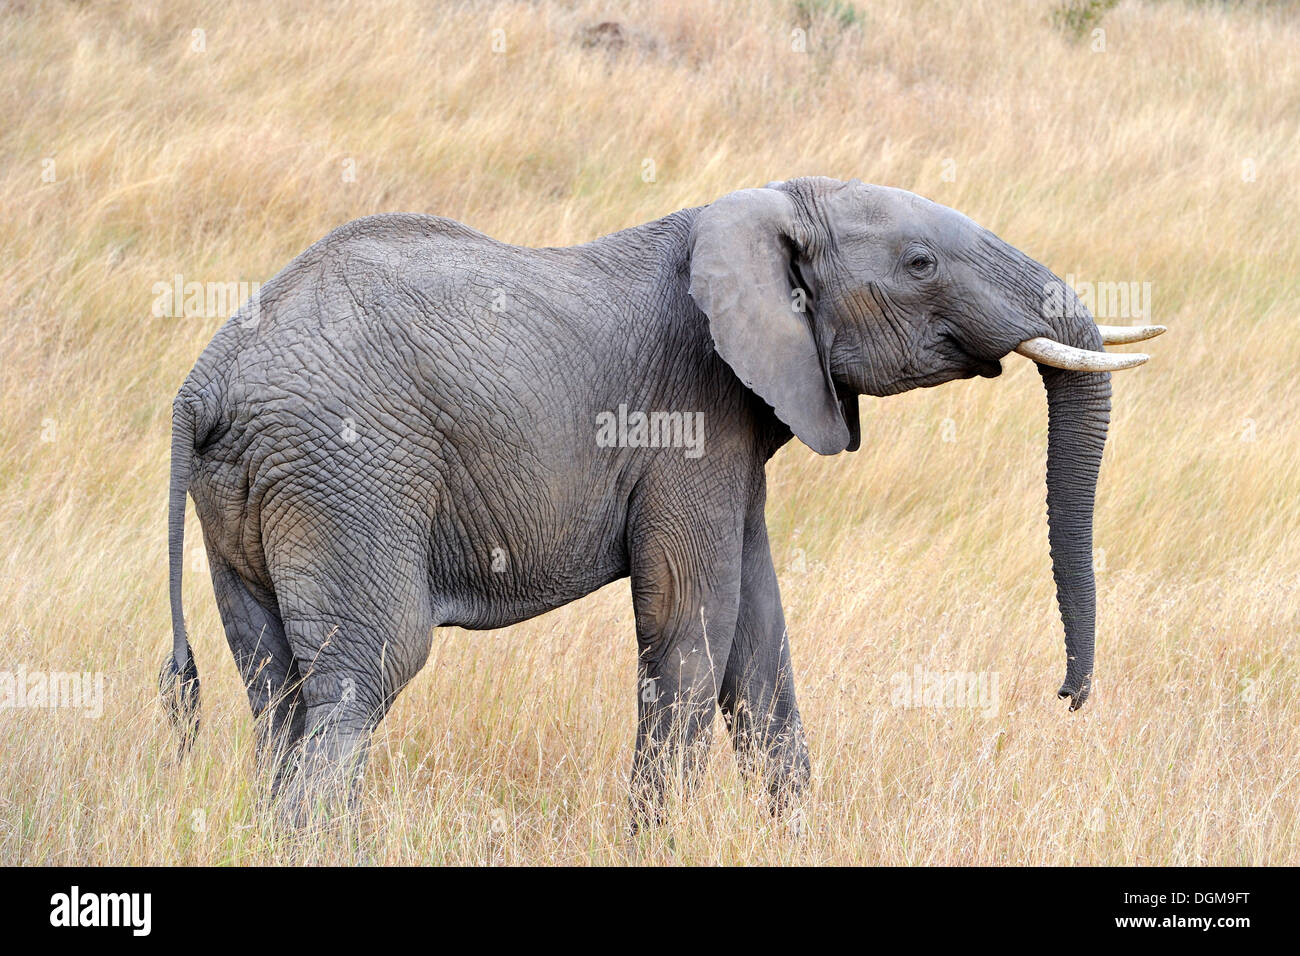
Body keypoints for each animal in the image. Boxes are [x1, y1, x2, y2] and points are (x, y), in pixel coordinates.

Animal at [159, 177, 1162, 826]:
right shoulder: (691, 416)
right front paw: (661, 842)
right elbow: (695, 624)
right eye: (919, 263)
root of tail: (205, 384)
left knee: (274, 683)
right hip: (348, 473)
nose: (1067, 697)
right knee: (364, 671)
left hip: (250, 494)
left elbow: (758, 637)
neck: (760, 208)